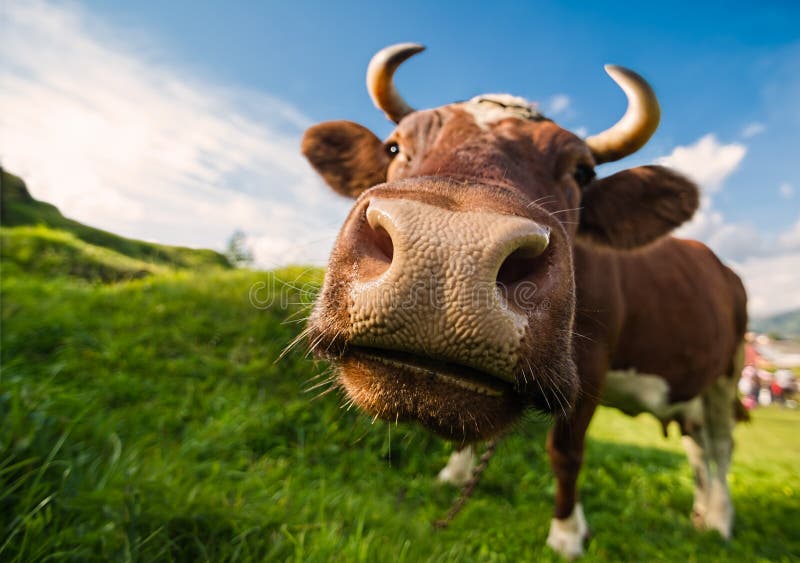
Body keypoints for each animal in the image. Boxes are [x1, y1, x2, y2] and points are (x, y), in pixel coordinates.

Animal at [300, 43, 747, 558]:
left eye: (582, 172)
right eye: (394, 147)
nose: (450, 251)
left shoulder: (592, 366)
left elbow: (566, 451)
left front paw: (567, 533)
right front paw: (455, 474)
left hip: (729, 373)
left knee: (720, 448)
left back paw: (720, 520)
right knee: (697, 447)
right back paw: (701, 513)